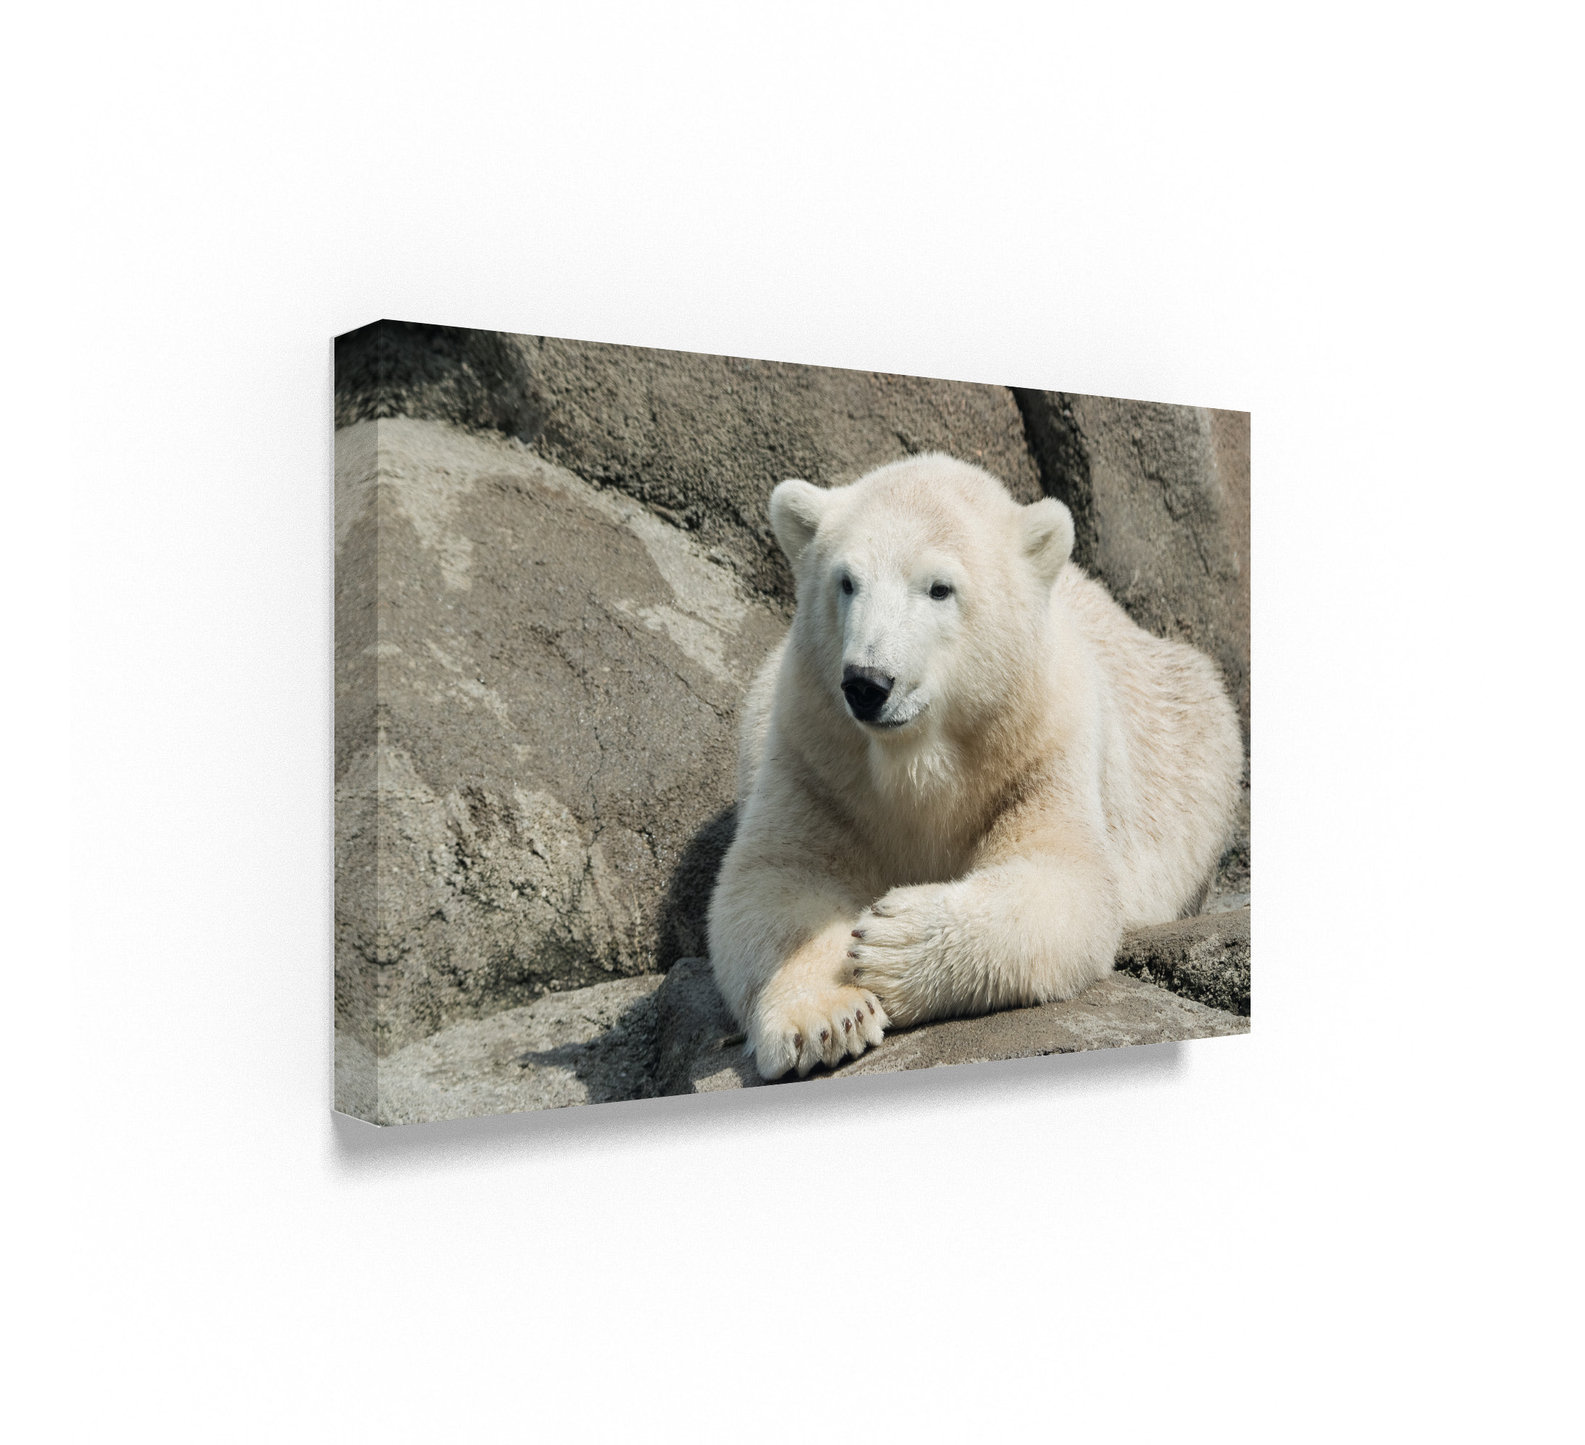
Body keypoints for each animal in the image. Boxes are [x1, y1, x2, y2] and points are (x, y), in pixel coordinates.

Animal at [707, 453, 1244, 1081]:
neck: (914, 757)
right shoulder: (813, 753)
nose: (868, 683)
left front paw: (890, 943)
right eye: (846, 581)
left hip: (1191, 741)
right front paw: (828, 1019)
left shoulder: (1041, 746)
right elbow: (773, 880)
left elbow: (1065, 878)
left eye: (940, 588)